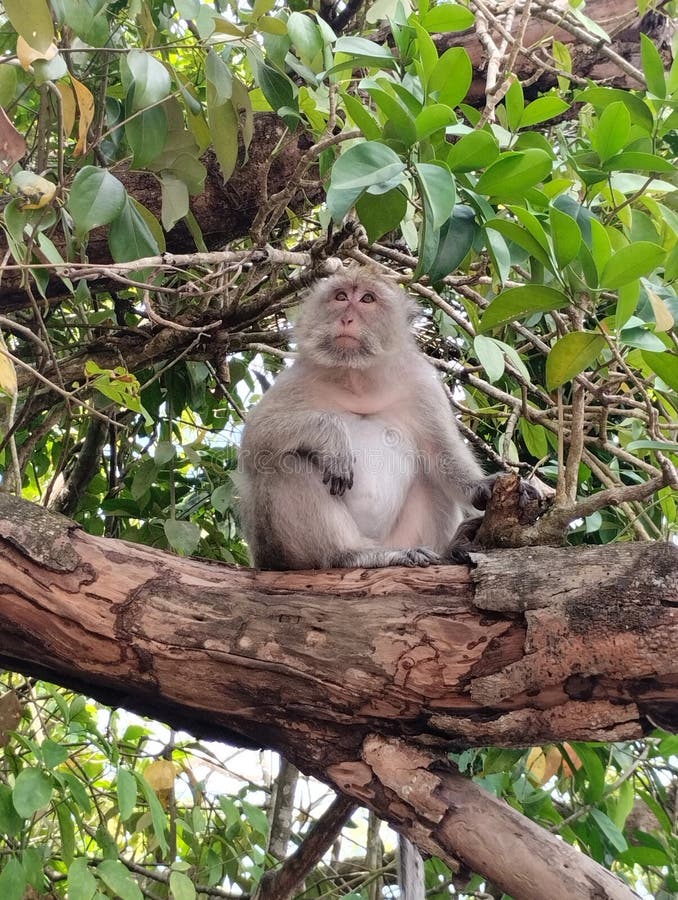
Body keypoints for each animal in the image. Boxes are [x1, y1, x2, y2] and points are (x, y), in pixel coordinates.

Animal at [238, 268, 496, 570]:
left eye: (367, 299)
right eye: (340, 297)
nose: (346, 318)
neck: (357, 379)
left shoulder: (421, 384)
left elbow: (441, 453)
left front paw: (481, 487)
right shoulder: (296, 379)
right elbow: (256, 439)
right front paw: (332, 437)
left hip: (403, 537)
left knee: (431, 475)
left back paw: (448, 551)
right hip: (274, 553)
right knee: (283, 462)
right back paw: (352, 554)